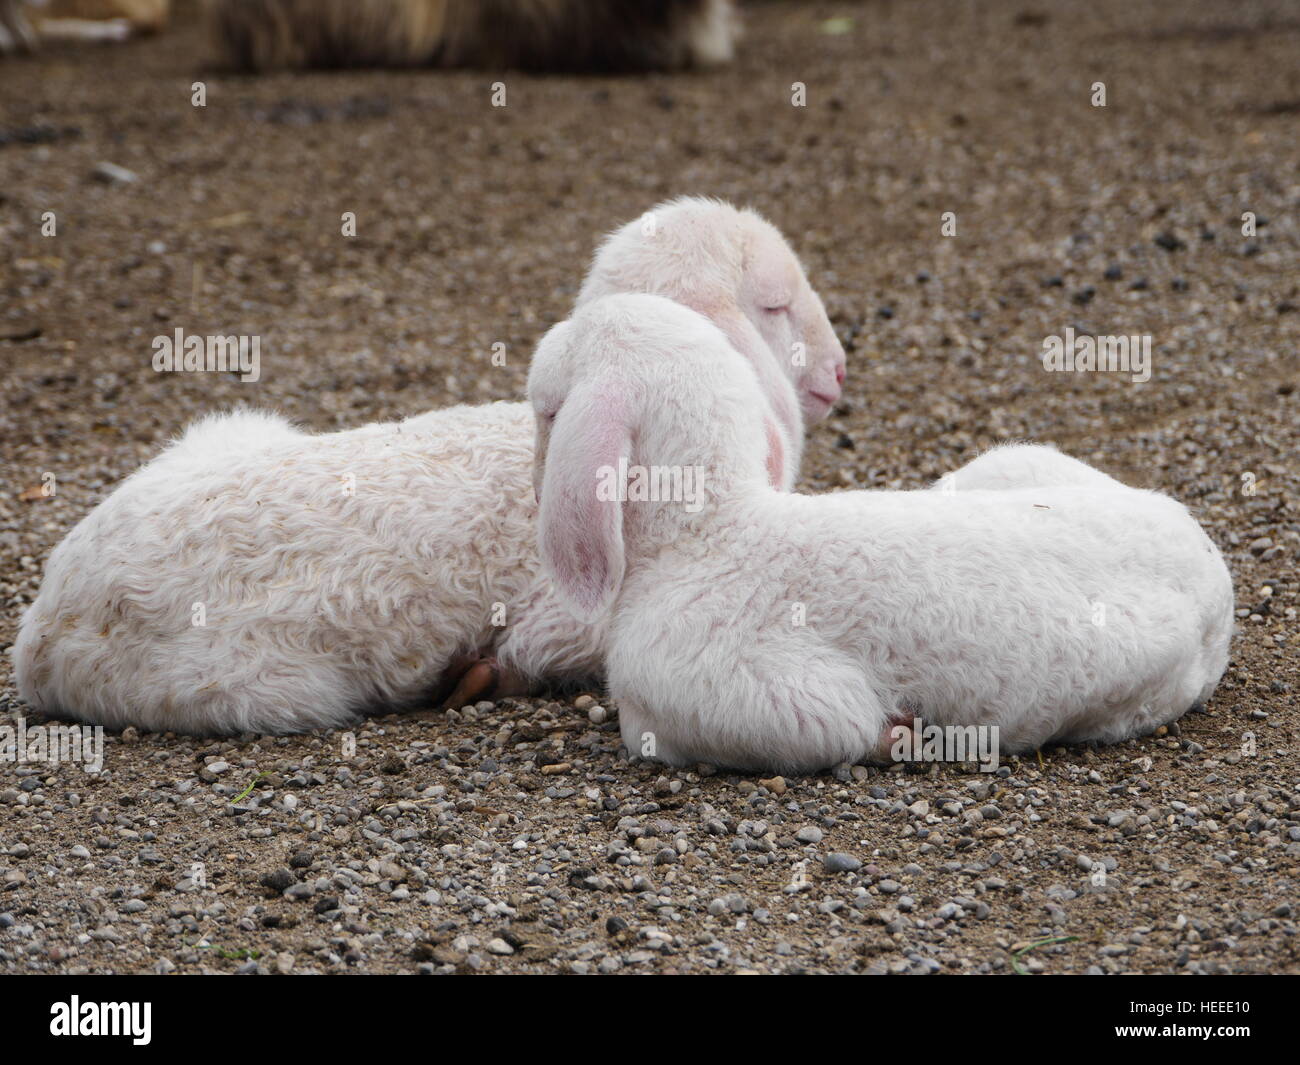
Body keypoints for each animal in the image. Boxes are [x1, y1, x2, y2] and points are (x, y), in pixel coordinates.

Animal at [13, 198, 845, 736]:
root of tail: (41, 633)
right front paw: (481, 676)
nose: (838, 373)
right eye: (773, 305)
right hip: (269, 692)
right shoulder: (575, 610)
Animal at [528, 294, 1236, 773]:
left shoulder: (734, 699)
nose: (536, 487)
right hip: (1013, 466)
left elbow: (841, 722)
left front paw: (903, 736)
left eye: (548, 412)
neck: (707, 534)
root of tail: (1213, 570)